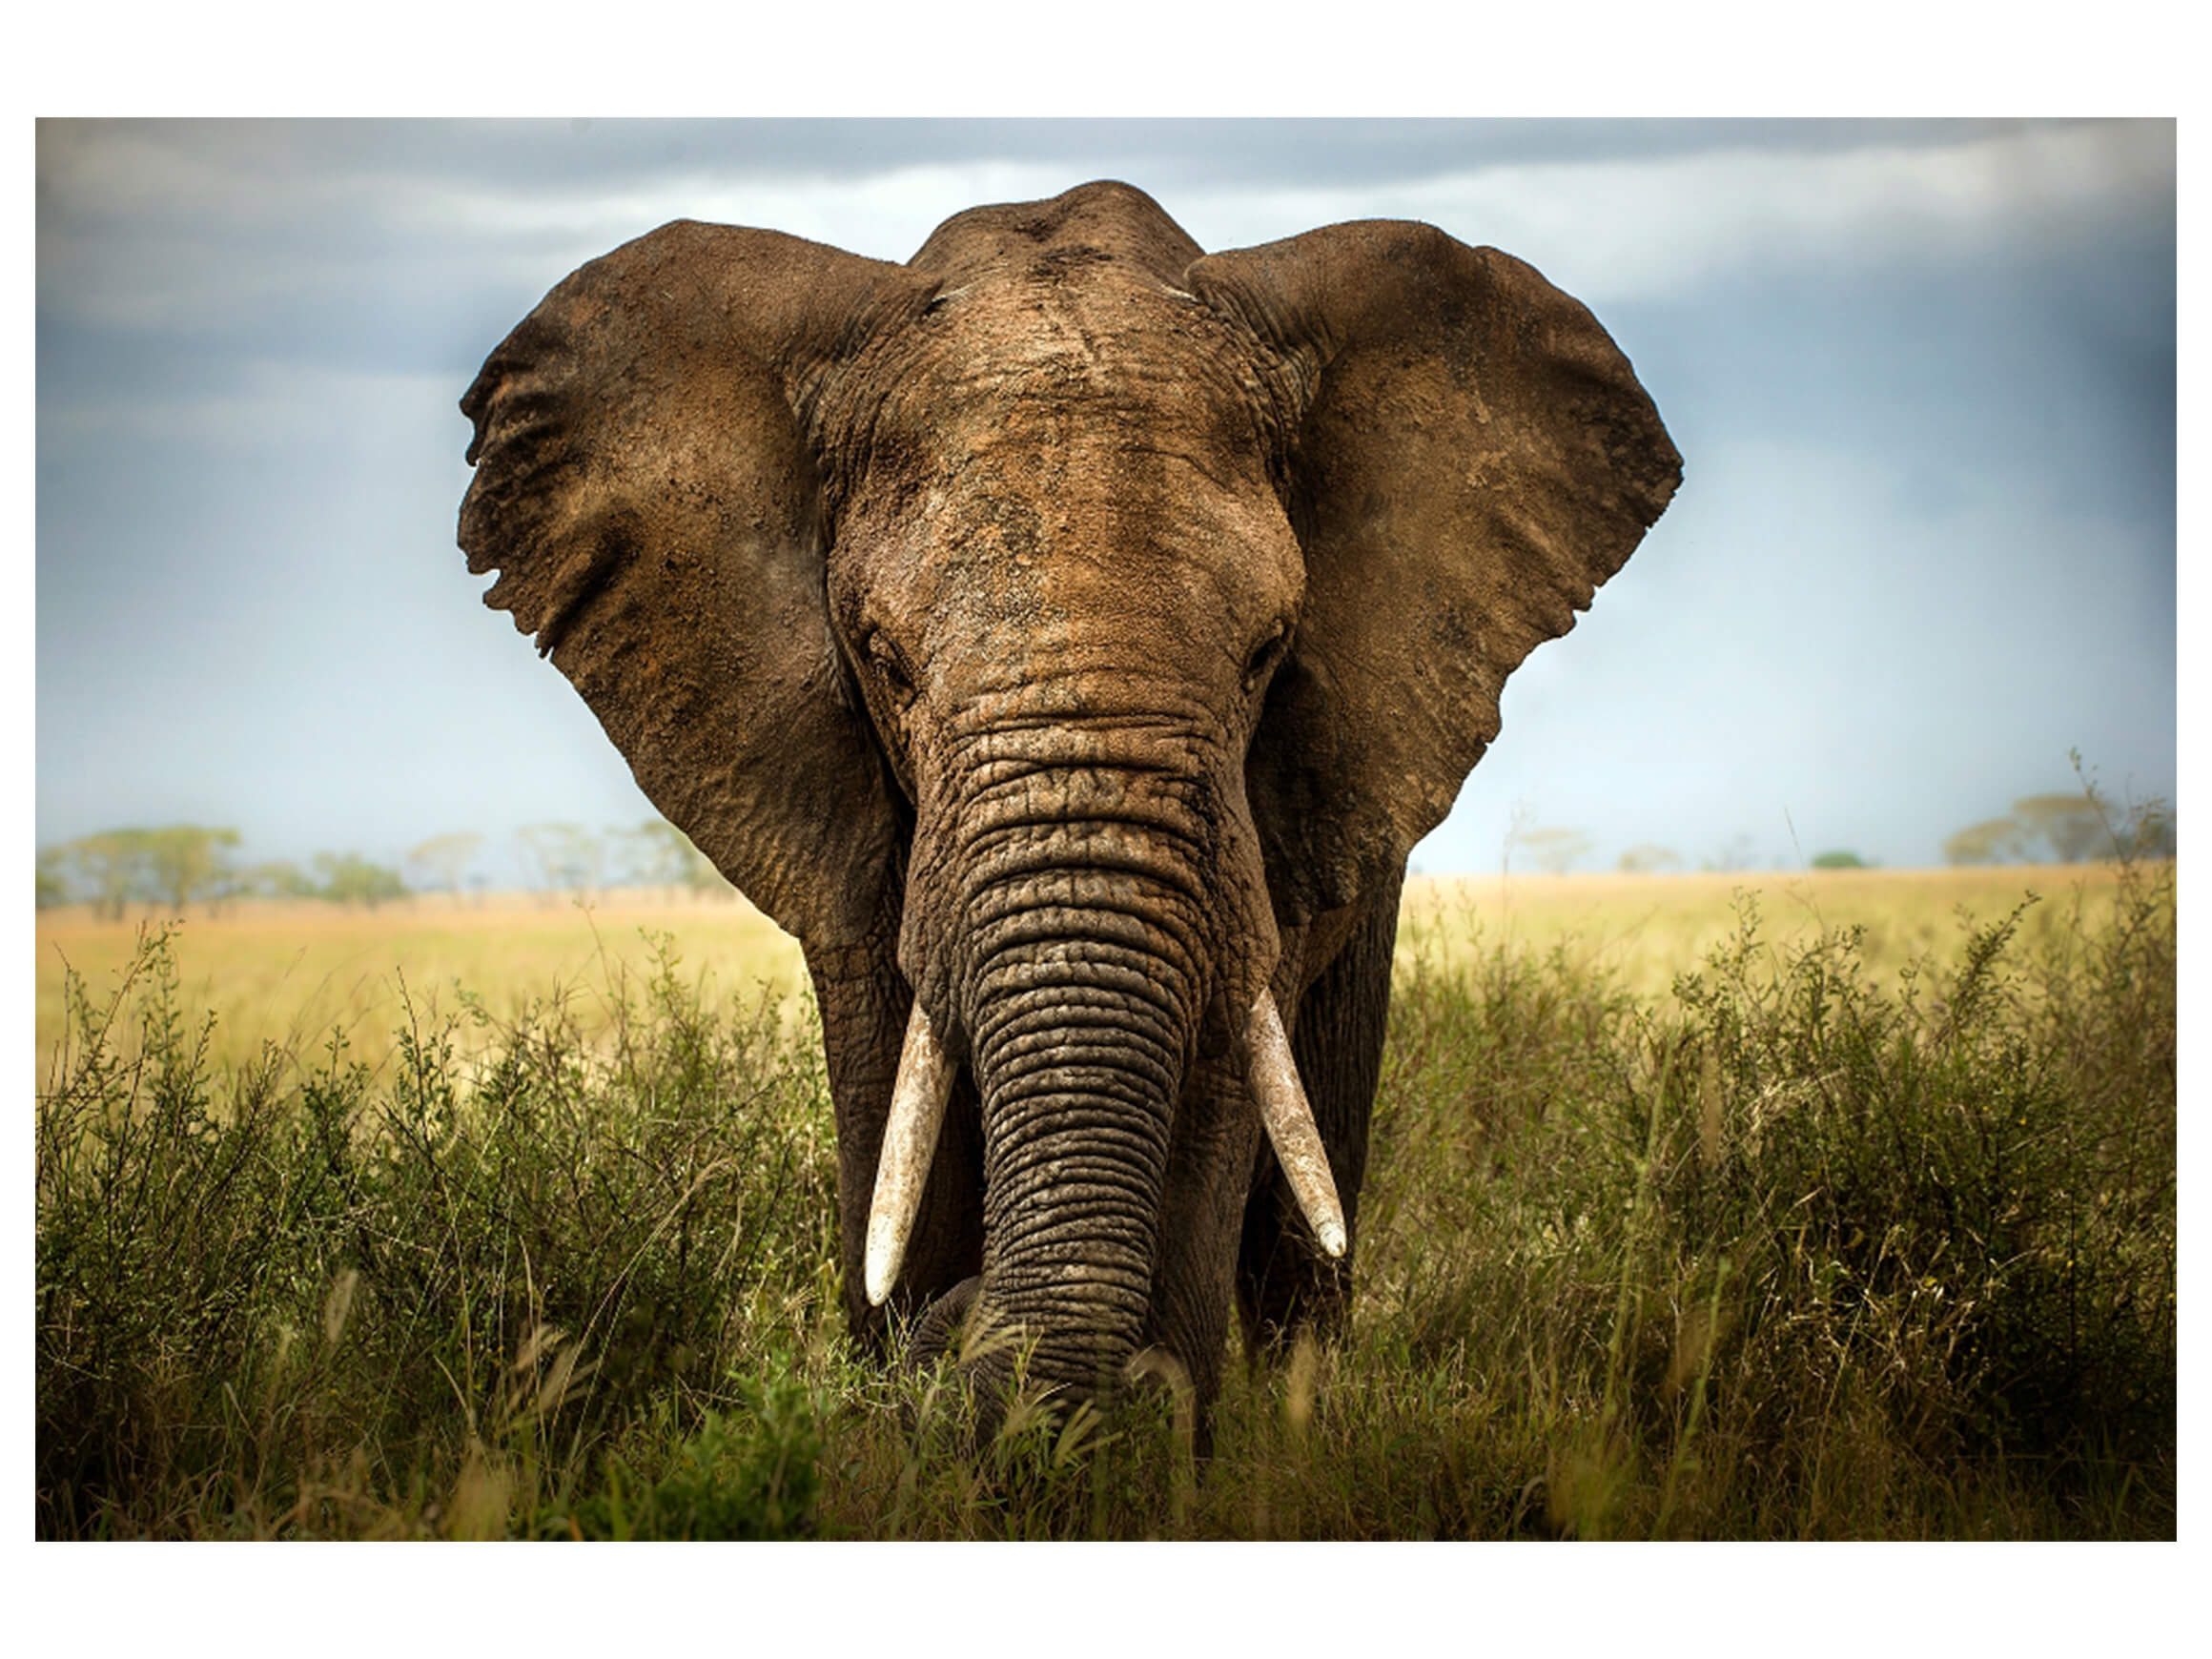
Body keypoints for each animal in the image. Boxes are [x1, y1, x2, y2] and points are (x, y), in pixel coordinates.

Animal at [458, 180, 1679, 1439]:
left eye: (1267, 653)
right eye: (886, 663)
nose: (965, 1326)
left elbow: (1218, 1082)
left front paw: (1138, 1434)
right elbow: (892, 1098)